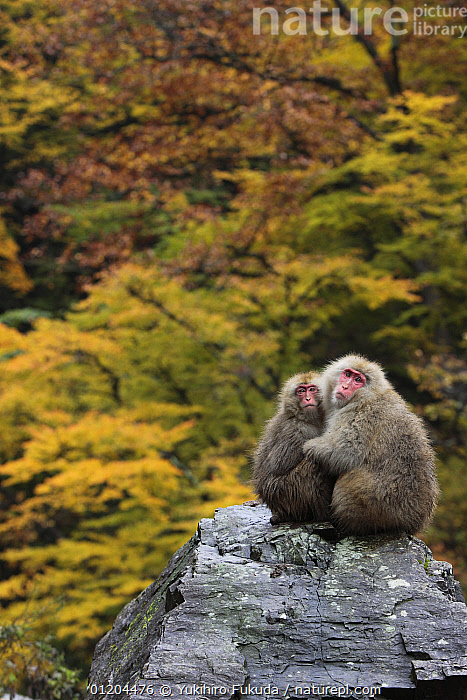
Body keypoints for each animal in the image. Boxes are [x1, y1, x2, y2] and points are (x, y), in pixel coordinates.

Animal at [252, 371, 335, 525]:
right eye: (301, 391)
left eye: (312, 389)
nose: (307, 398)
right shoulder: (297, 430)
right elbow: (279, 466)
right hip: (286, 496)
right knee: (312, 467)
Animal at [302, 355, 439, 536]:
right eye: (347, 374)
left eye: (358, 380)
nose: (345, 386)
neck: (366, 395)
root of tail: (413, 521)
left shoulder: (362, 413)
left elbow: (345, 453)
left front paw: (308, 447)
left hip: (374, 505)